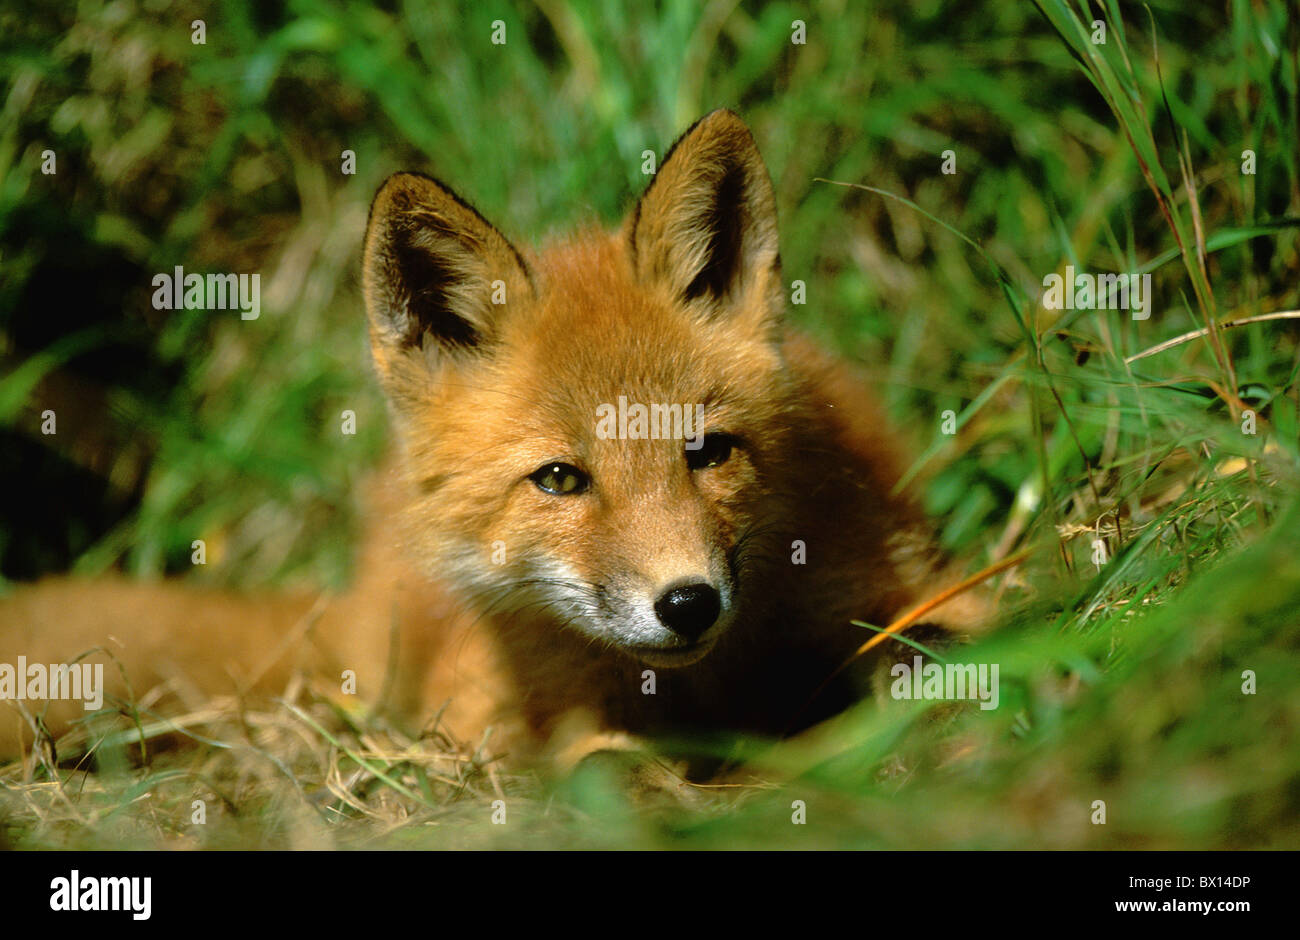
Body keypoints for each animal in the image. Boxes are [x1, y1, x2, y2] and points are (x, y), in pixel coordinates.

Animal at [1, 110, 980, 779]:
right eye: (560, 479)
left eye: (707, 452)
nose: (689, 603)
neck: (704, 685)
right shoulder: (505, 710)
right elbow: (592, 758)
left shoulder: (901, 578)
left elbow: (931, 650)